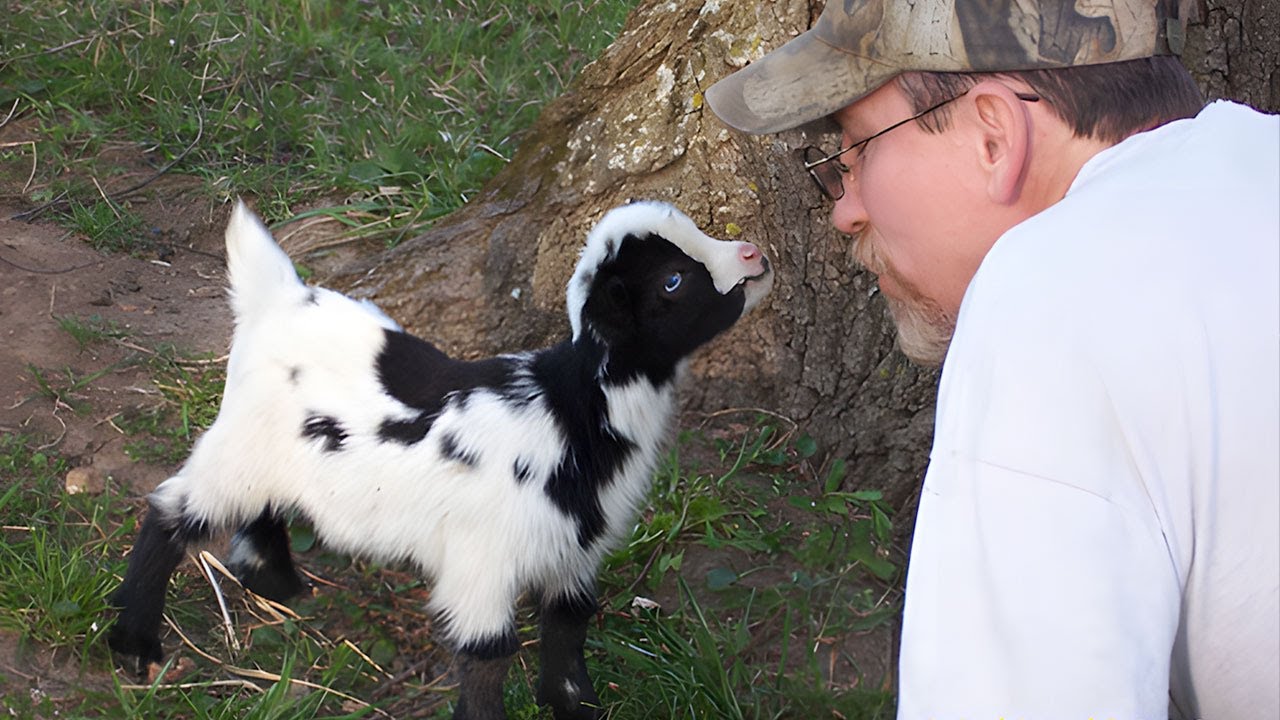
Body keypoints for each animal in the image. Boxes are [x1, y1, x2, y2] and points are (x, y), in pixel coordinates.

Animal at [107, 200, 773, 719]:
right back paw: (135, 642)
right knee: (171, 510)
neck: (572, 408)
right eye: (672, 282)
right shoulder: (486, 559)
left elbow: (569, 625)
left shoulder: (572, 550)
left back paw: (275, 581)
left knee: (261, 506)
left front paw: (575, 707)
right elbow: (488, 655)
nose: (754, 255)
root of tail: (279, 299)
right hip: (239, 445)